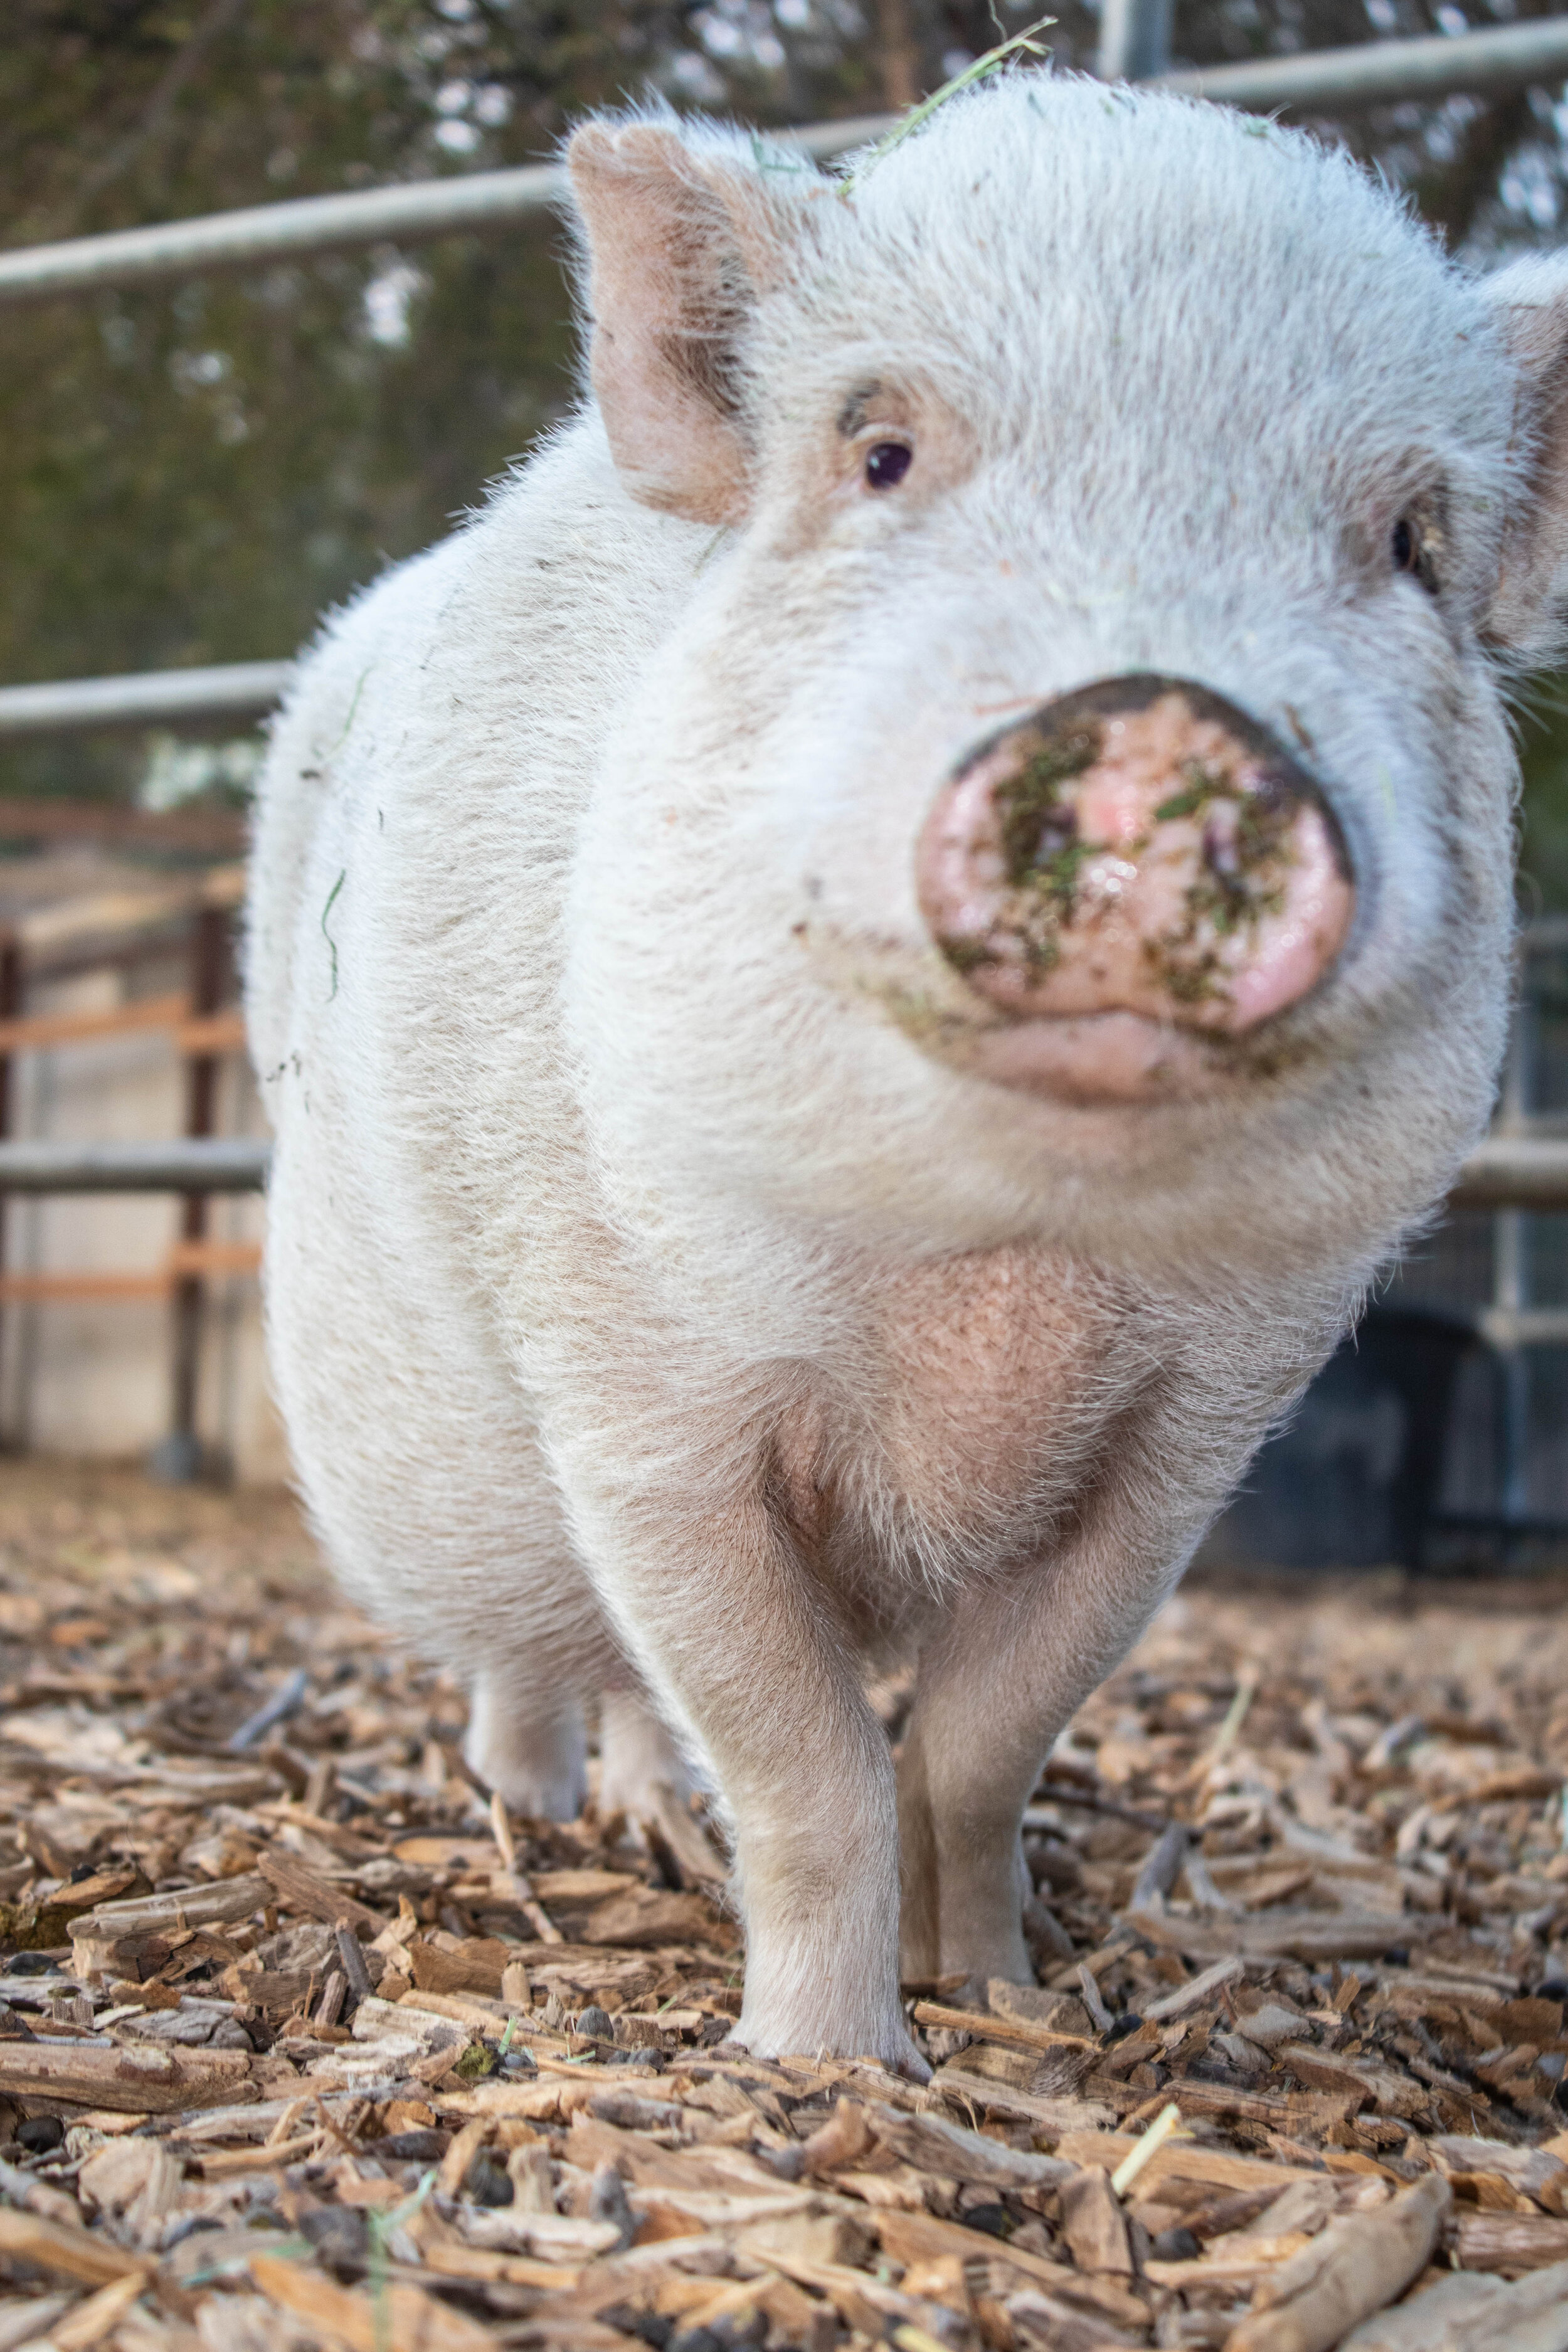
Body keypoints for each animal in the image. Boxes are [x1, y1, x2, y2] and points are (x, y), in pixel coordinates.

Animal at [247, 68, 1560, 2076]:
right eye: (877, 452)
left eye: (1412, 542)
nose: (1154, 726)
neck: (1004, 1282)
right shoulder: (637, 1401)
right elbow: (808, 1767)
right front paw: (827, 2063)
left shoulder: (1184, 1442)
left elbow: (978, 1736)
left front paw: (1000, 1996)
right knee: (543, 1654)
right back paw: (539, 1813)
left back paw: (646, 1818)